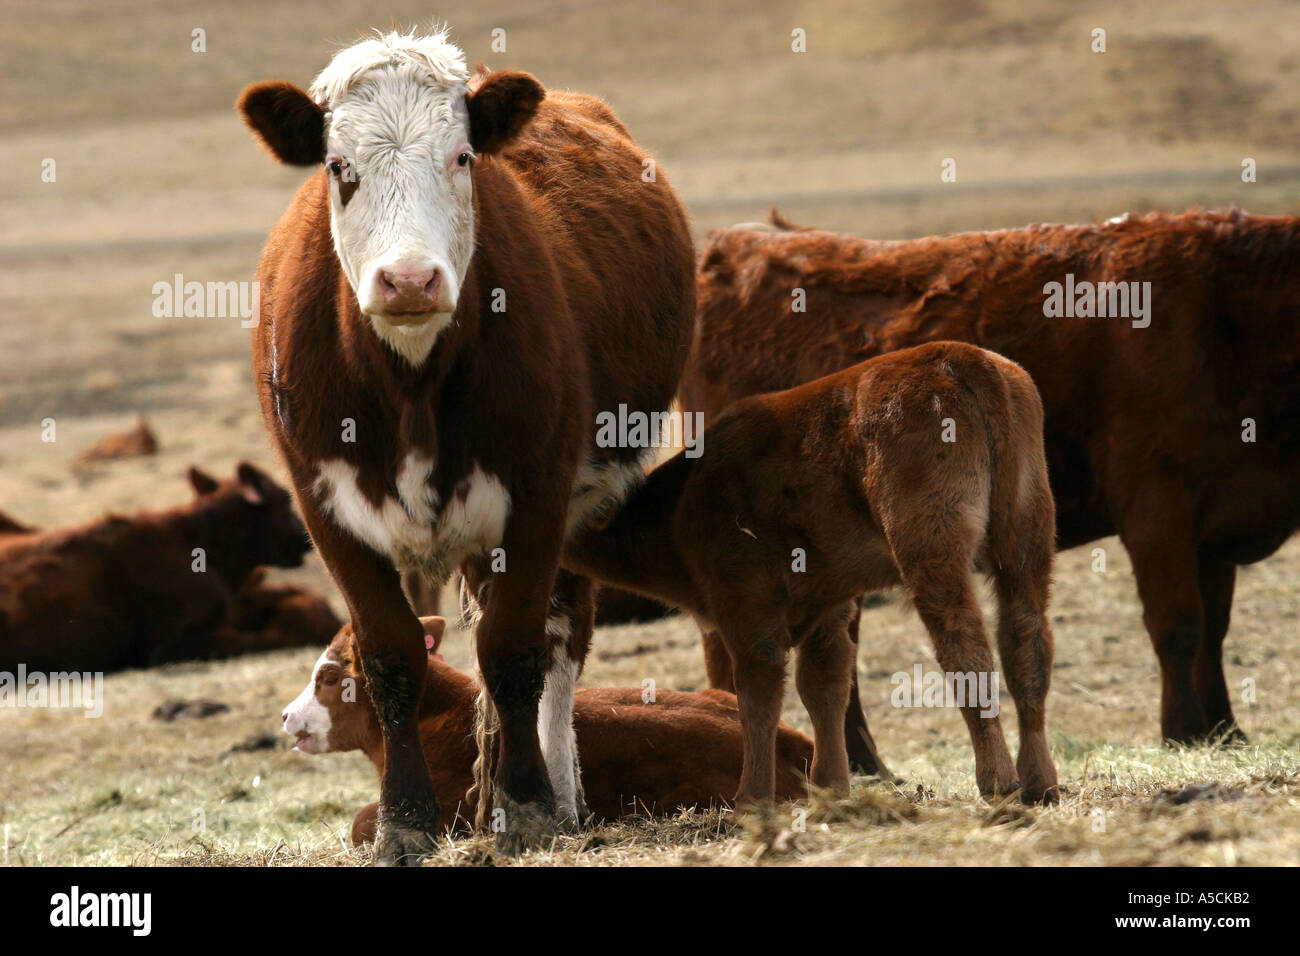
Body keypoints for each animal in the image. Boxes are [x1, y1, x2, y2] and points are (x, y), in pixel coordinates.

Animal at [236, 28, 694, 861]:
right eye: (339, 167)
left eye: (460, 157)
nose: (409, 280)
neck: (411, 385)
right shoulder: (328, 510)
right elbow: (391, 657)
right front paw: (406, 822)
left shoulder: (538, 497)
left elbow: (514, 652)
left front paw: (531, 810)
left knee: (559, 639)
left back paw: (553, 796)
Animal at [567, 342, 1061, 805]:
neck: (679, 505)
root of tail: (959, 357)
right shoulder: (829, 605)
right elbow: (824, 687)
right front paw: (830, 787)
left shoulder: (747, 606)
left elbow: (757, 695)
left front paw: (751, 799)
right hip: (1027, 538)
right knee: (1026, 642)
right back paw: (1041, 782)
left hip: (933, 552)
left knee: (965, 646)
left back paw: (998, 780)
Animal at [682, 208, 1300, 746]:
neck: (1225, 314)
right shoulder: (1156, 511)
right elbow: (1178, 627)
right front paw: (1185, 730)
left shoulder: (1215, 524)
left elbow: (1213, 634)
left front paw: (1224, 728)